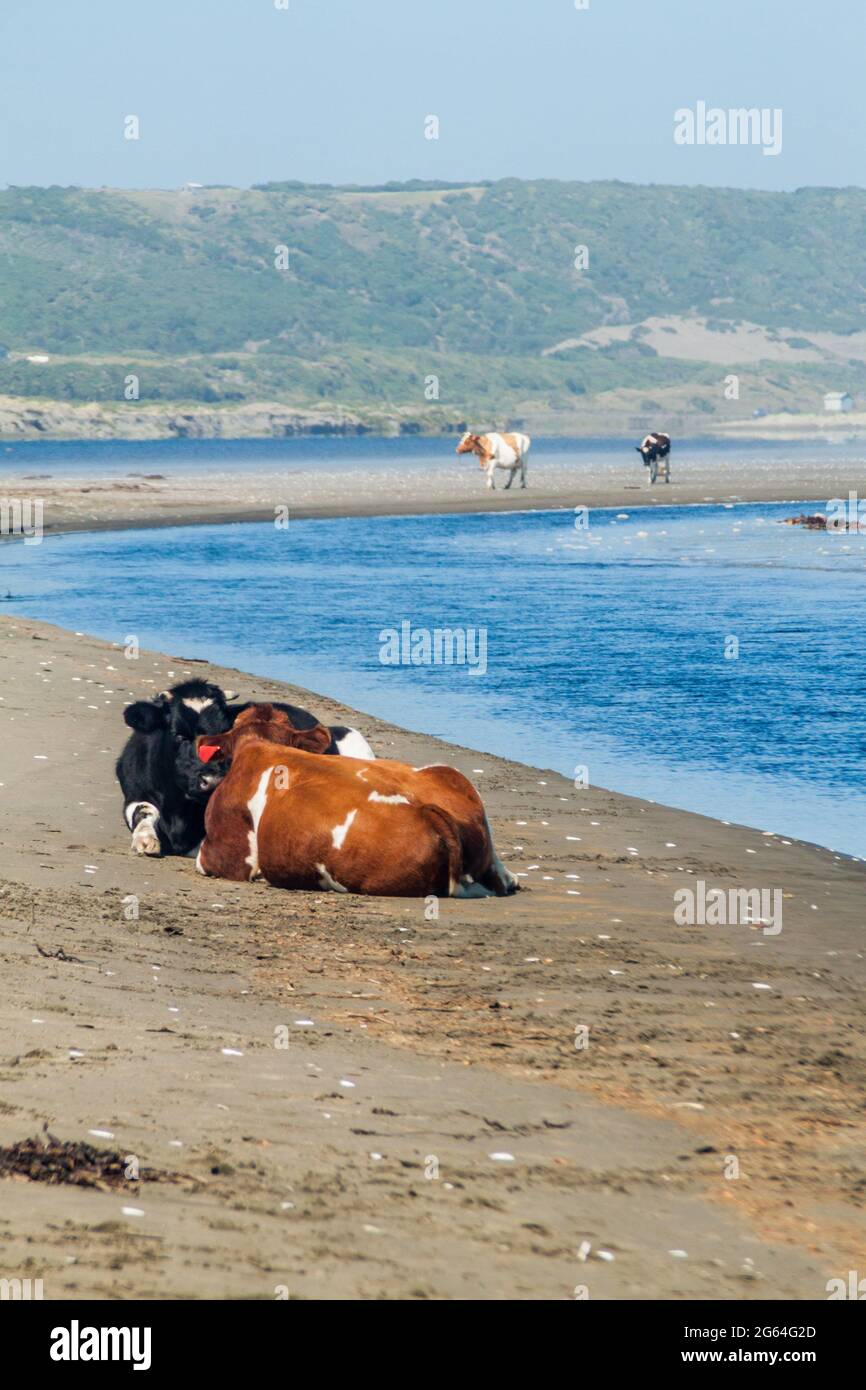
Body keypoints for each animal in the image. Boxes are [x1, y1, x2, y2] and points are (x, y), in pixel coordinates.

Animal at [116, 679, 374, 856]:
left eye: (225, 733)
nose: (212, 780)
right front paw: (146, 839)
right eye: (178, 734)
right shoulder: (135, 791)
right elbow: (145, 810)